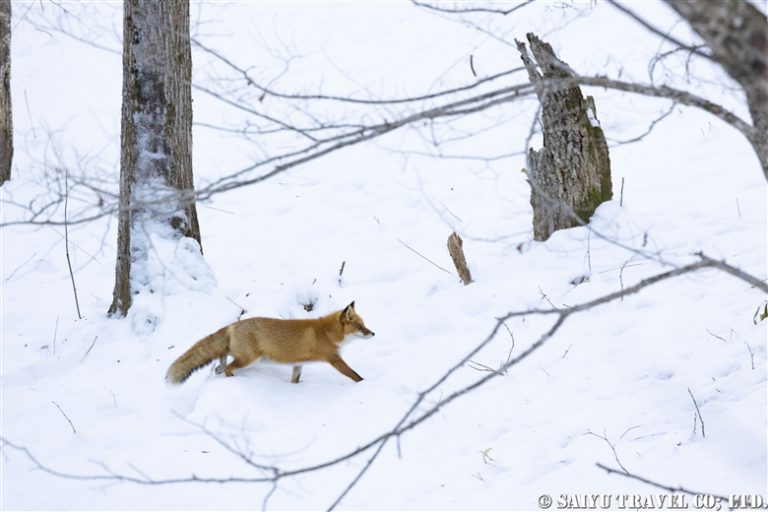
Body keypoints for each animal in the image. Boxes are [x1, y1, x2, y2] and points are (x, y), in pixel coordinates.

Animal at [166, 301, 375, 384]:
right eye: (360, 326)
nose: (373, 333)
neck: (327, 332)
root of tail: (233, 325)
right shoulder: (334, 358)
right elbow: (354, 374)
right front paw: (364, 385)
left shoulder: (298, 363)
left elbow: (295, 380)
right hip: (249, 359)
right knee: (228, 368)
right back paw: (233, 380)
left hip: (240, 356)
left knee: (221, 363)